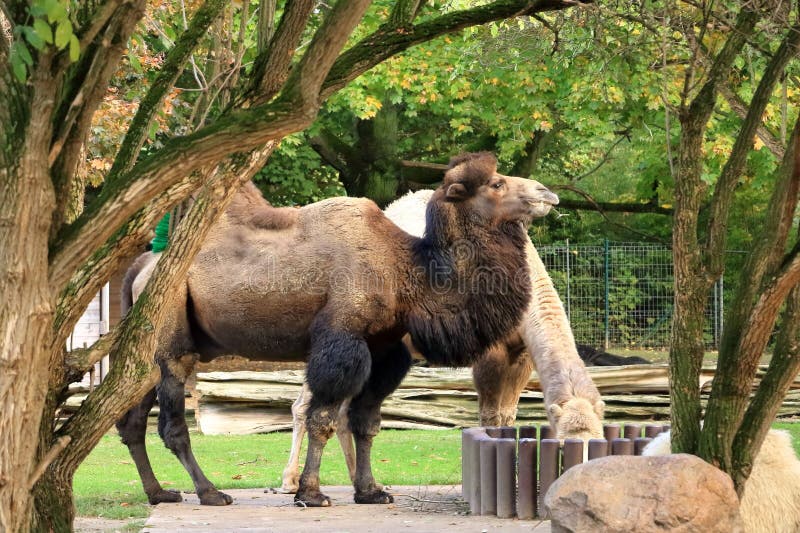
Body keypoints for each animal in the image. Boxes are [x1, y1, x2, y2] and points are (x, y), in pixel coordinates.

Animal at [117, 152, 560, 508]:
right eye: (497, 183)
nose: (547, 193)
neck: (407, 272)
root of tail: (142, 270)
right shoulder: (343, 340)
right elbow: (324, 418)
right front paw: (310, 494)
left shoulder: (385, 351)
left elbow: (366, 422)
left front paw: (372, 491)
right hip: (174, 336)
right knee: (172, 424)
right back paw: (210, 492)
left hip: (151, 351)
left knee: (132, 417)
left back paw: (159, 492)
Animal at [281, 189, 606, 493]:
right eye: (563, 448)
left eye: (598, 445)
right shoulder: (489, 352)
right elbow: (490, 415)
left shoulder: (522, 354)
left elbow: (508, 414)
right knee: (303, 404)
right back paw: (291, 481)